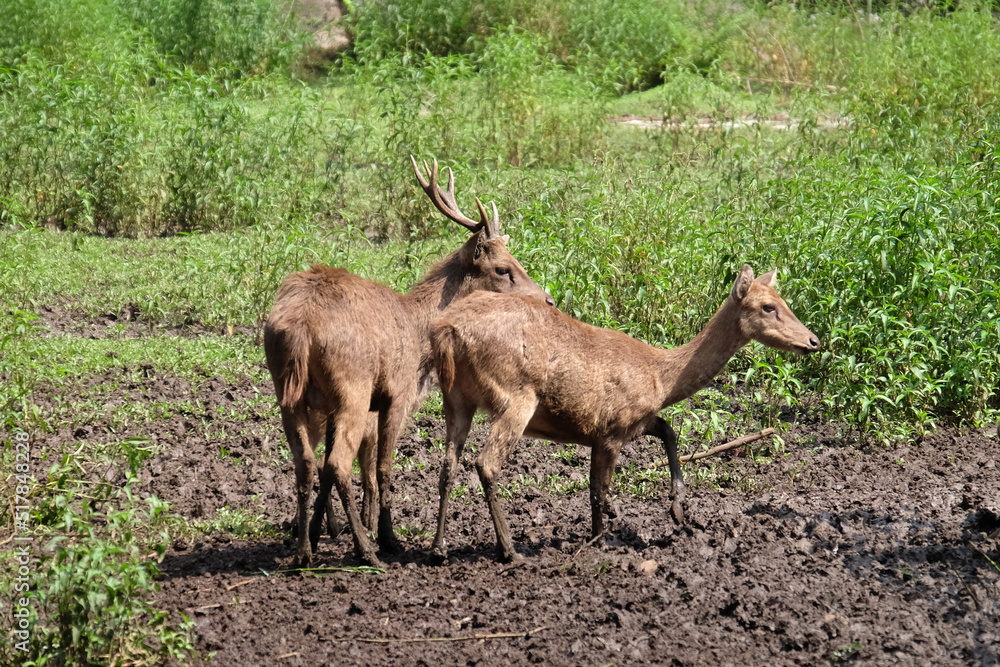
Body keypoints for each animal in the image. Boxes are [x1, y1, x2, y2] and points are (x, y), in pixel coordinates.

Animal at [264, 157, 554, 568]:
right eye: (502, 268)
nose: (548, 300)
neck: (421, 336)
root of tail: (302, 327)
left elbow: (328, 471)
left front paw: (320, 535)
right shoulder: (397, 394)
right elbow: (383, 468)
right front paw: (388, 537)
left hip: (287, 392)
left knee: (306, 463)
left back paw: (303, 553)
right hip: (352, 387)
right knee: (338, 464)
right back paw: (368, 551)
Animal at [429, 265, 819, 562]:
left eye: (783, 301)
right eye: (768, 306)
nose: (813, 341)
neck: (660, 379)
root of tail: (445, 330)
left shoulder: (630, 422)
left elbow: (666, 431)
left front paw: (677, 509)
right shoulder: (613, 427)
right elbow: (600, 487)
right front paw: (601, 539)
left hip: (455, 398)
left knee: (448, 464)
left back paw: (439, 548)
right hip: (516, 397)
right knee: (486, 463)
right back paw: (509, 550)